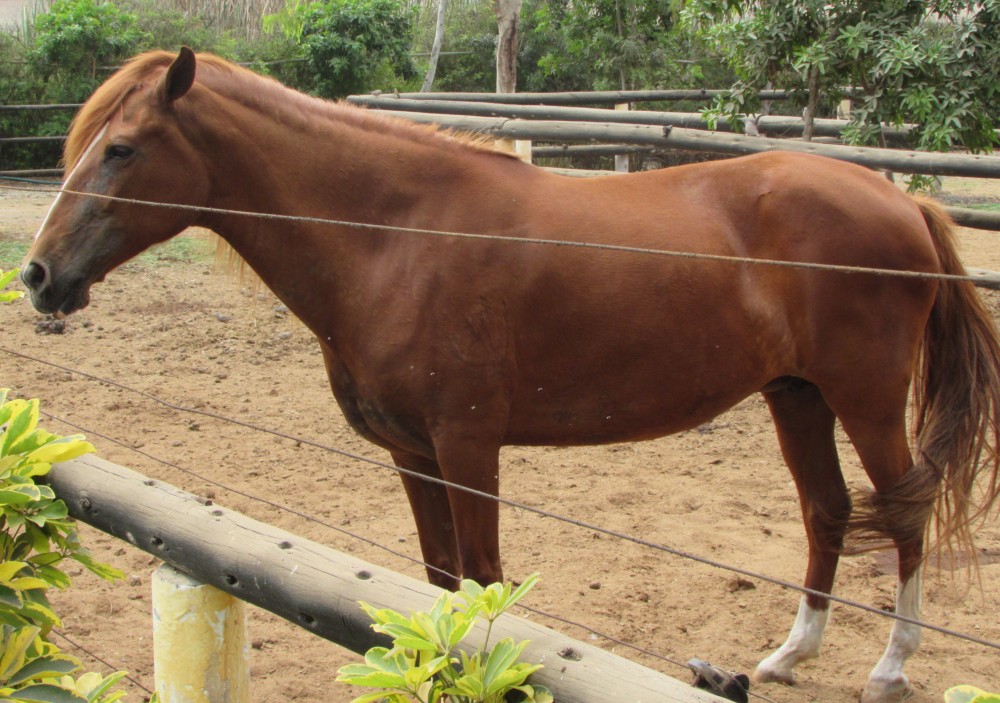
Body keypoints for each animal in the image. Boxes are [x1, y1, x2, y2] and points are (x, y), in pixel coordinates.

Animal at [21, 48, 1000, 702]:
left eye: (123, 149)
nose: (37, 274)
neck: (394, 235)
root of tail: (901, 199)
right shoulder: (412, 453)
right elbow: (436, 590)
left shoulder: (467, 447)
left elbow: (483, 587)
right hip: (796, 397)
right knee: (827, 512)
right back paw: (790, 656)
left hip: (866, 400)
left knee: (902, 517)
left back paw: (889, 666)